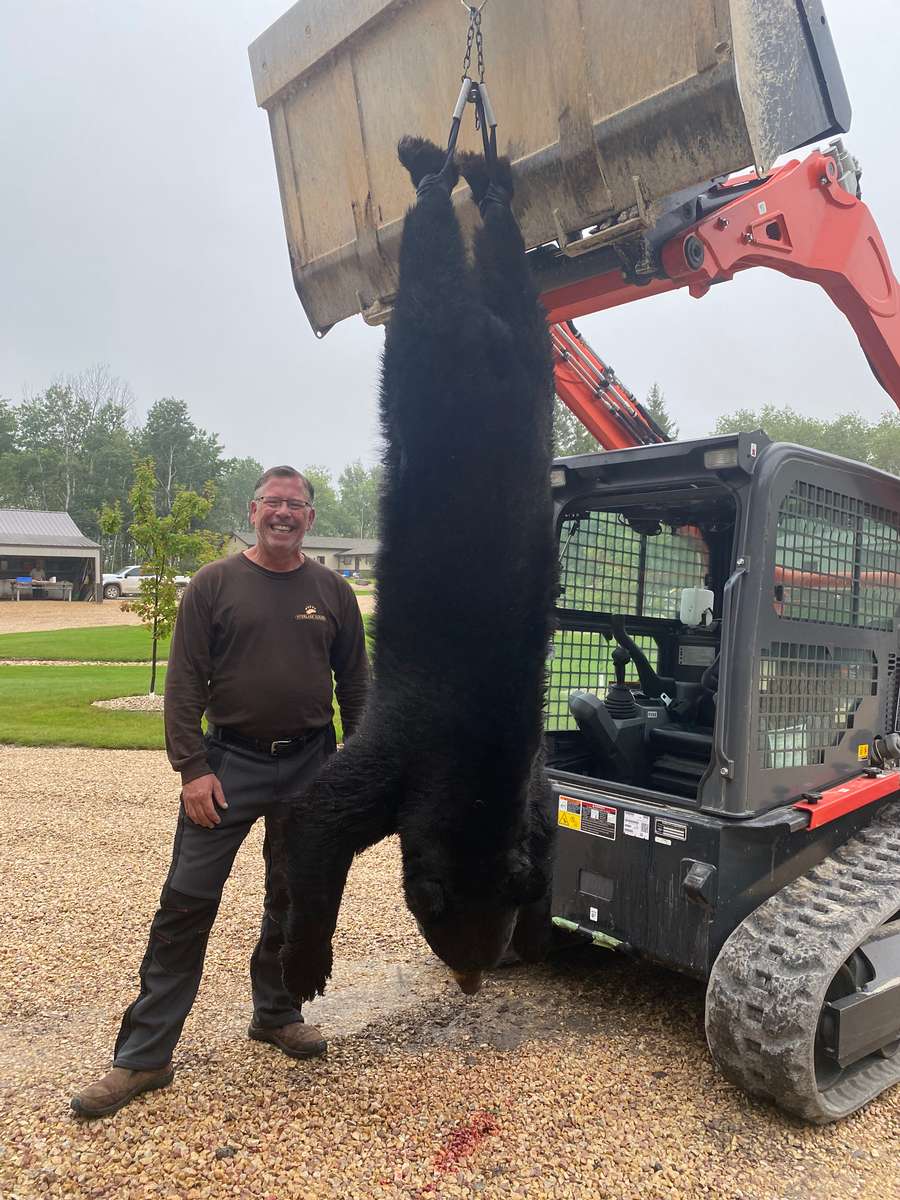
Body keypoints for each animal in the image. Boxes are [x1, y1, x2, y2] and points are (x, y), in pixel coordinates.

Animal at [280, 136, 558, 1004]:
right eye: (446, 936)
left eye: (483, 943)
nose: (470, 982)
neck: (474, 777)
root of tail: (487, 336)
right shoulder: (402, 751)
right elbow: (315, 816)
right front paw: (306, 964)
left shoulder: (522, 776)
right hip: (436, 343)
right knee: (438, 253)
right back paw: (438, 168)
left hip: (508, 350)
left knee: (492, 261)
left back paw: (466, 174)